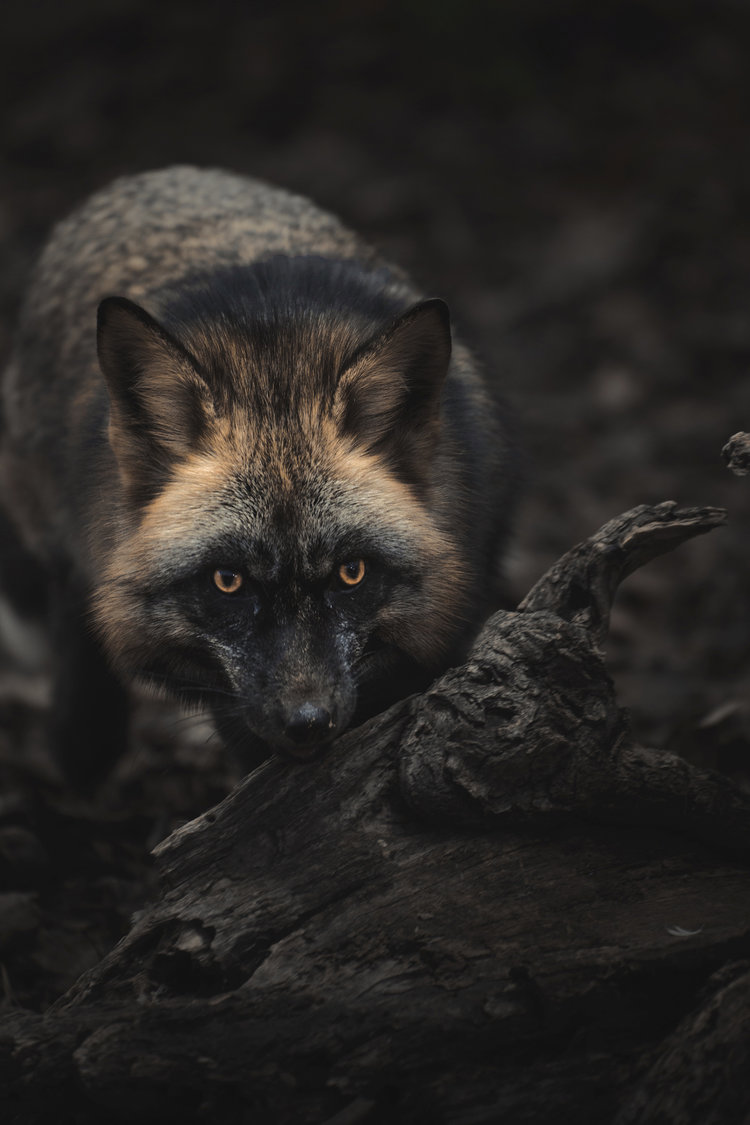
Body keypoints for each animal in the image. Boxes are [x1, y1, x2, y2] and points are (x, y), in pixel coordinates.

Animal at [0, 166, 517, 788]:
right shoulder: (231, 706)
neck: (277, 358)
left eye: (351, 573)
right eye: (228, 581)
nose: (307, 722)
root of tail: (159, 175)